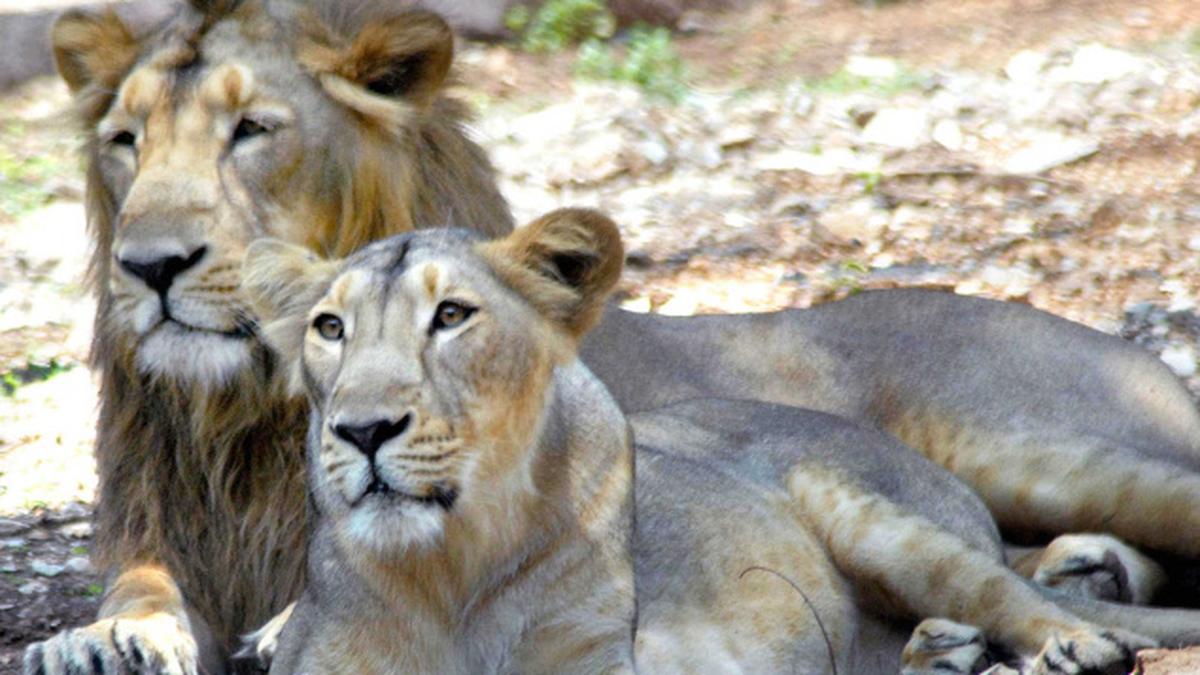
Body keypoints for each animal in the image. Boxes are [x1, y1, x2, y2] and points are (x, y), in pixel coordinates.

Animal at [240, 208, 1200, 674]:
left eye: (451, 317)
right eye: (329, 327)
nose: (363, 428)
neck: (448, 574)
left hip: (929, 493)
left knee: (1009, 586)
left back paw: (1069, 635)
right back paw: (946, 650)